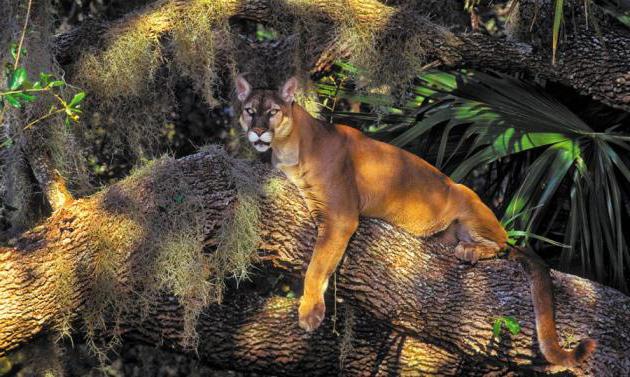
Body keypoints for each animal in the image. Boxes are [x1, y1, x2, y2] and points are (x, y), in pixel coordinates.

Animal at [236, 75, 596, 366]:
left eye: (272, 111)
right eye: (249, 110)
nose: (257, 132)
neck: (289, 148)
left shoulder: (340, 215)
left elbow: (317, 264)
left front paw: (310, 311)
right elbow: (322, 262)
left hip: (468, 201)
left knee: (503, 245)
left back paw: (470, 250)